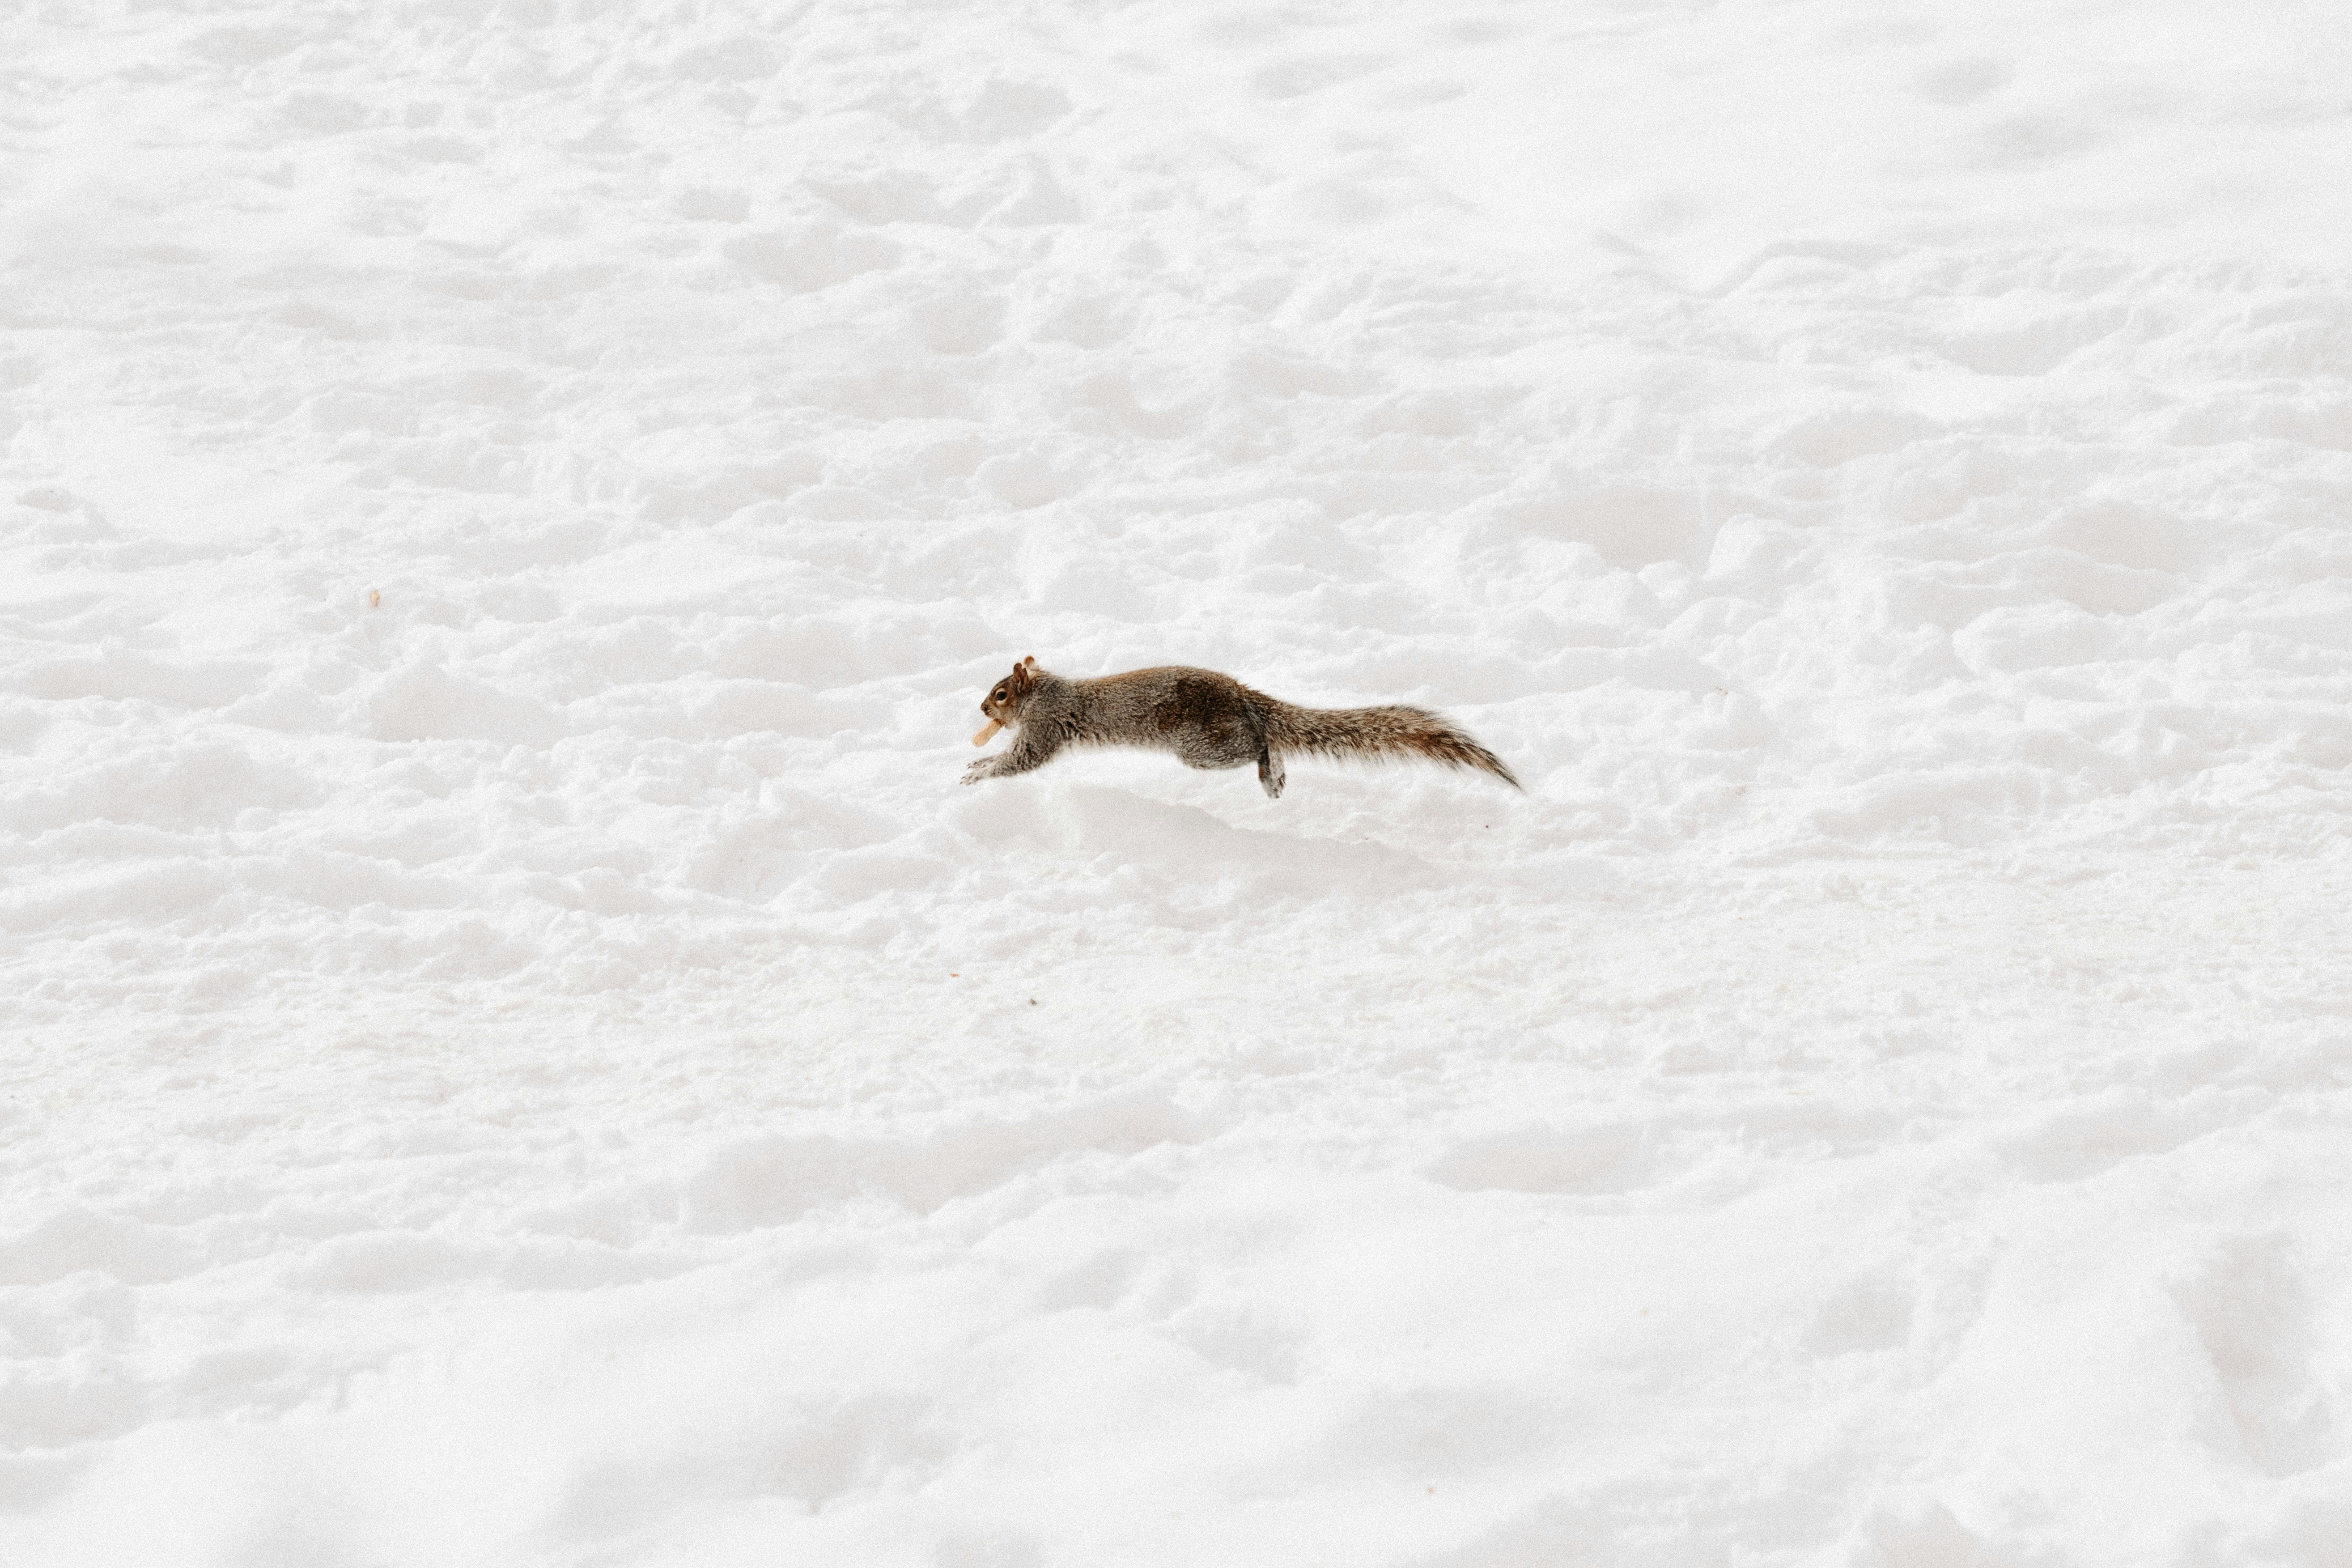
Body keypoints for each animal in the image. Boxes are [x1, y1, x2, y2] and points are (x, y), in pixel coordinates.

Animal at [963, 656, 1519, 799]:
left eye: (1001, 694)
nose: (982, 709)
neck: (1044, 691)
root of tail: (1242, 696)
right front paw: (978, 759)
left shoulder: (1046, 726)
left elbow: (1022, 759)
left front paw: (979, 771)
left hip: (1199, 745)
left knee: (1256, 743)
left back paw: (1269, 771)